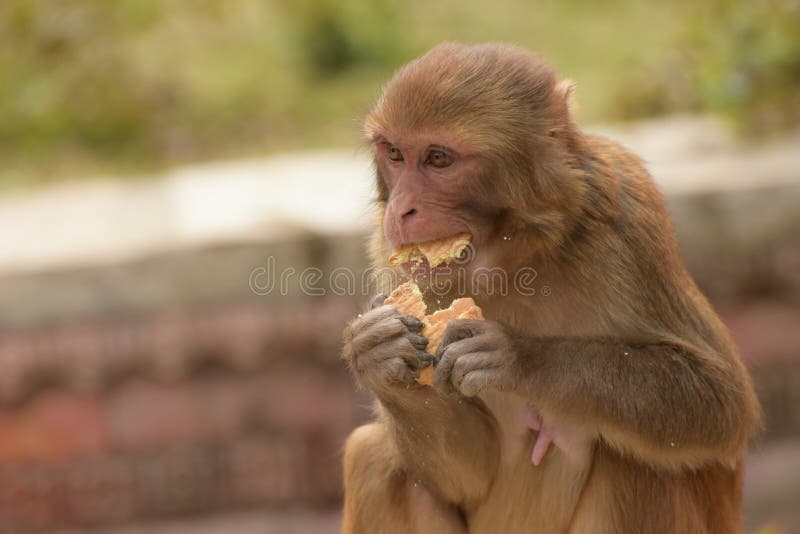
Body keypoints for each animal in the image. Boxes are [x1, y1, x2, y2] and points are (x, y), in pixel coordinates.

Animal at [341, 43, 761, 534]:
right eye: (393, 152)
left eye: (438, 158)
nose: (402, 209)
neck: (515, 259)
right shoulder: (390, 259)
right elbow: (467, 477)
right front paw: (378, 356)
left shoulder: (627, 212)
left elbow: (723, 404)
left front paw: (518, 358)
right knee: (372, 456)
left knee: (640, 461)